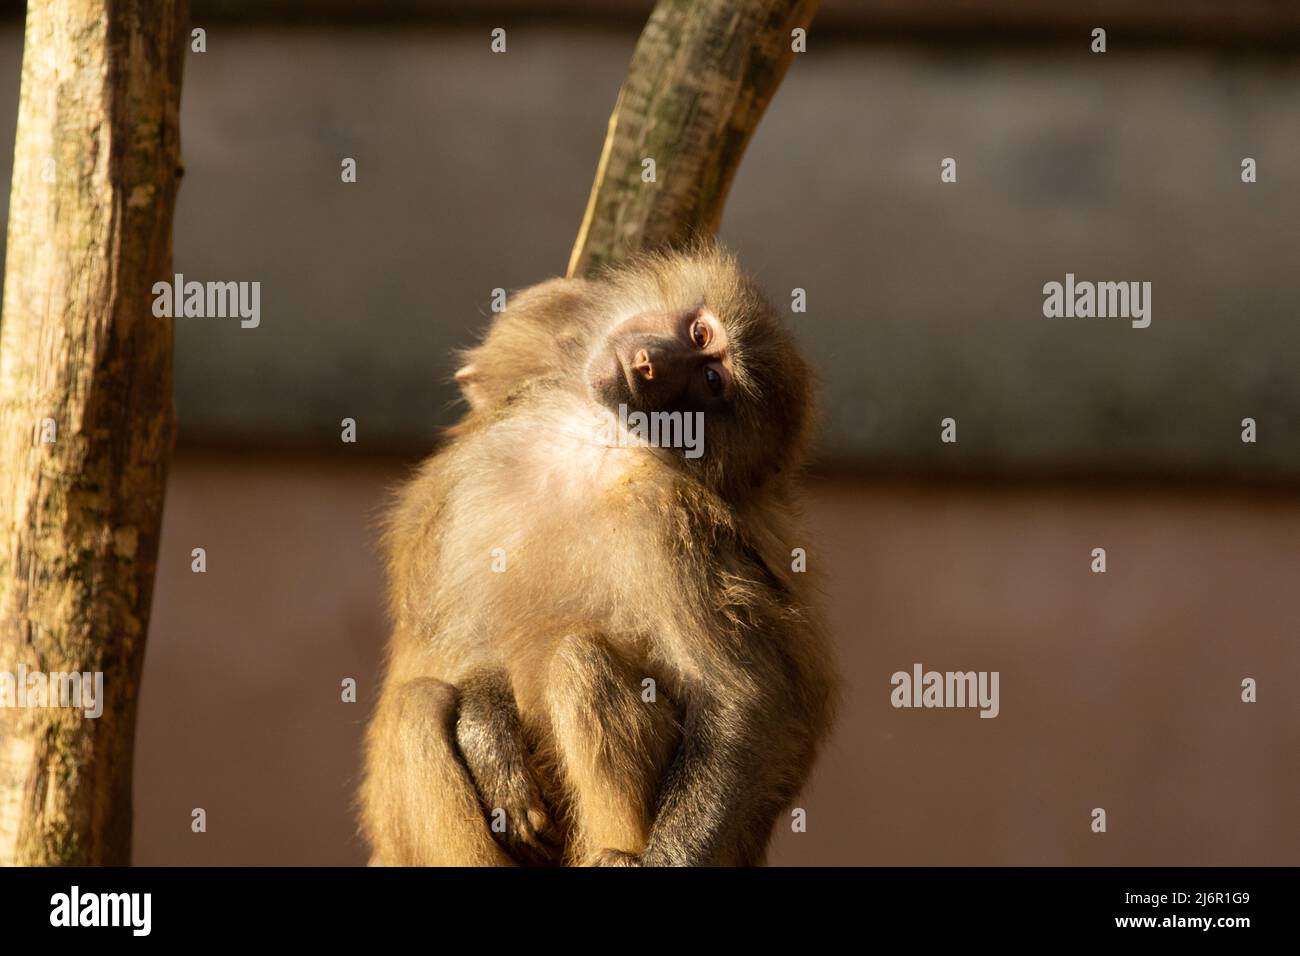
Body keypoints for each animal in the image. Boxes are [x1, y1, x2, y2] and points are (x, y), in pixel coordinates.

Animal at [360, 246, 836, 866]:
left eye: (712, 381)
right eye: (700, 333)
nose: (649, 364)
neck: (593, 441)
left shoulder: (670, 521)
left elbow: (750, 704)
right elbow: (460, 642)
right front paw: (488, 728)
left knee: (582, 661)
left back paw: (617, 851)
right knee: (417, 708)